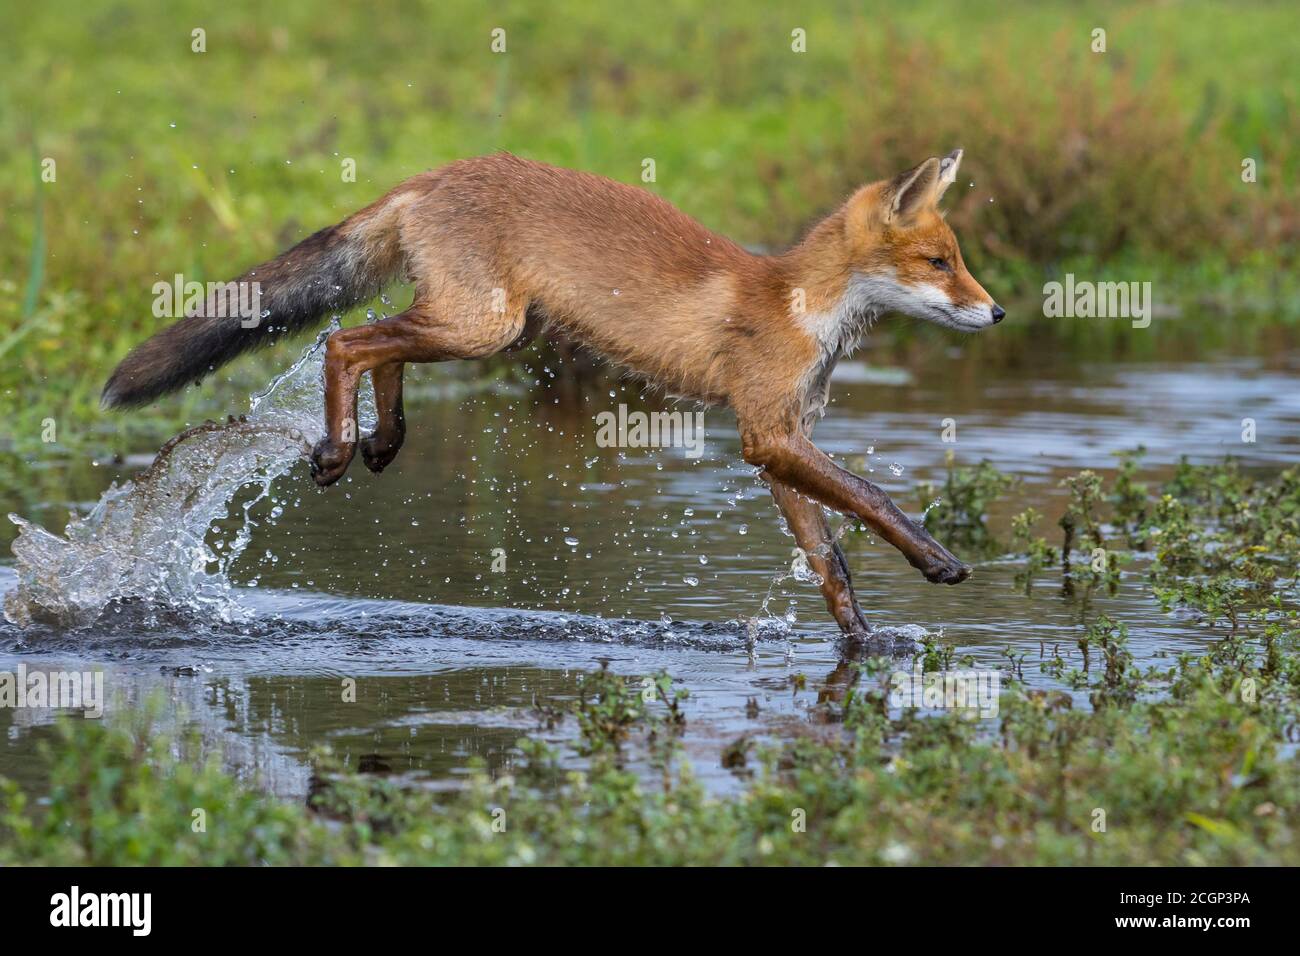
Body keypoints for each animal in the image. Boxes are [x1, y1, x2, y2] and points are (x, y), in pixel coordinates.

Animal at [102, 150, 1004, 639]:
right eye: (939, 263)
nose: (996, 312)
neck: (794, 303)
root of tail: (434, 174)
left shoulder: (776, 443)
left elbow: (832, 566)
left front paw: (866, 645)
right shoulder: (768, 435)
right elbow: (873, 497)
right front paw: (938, 561)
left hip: (490, 327)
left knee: (379, 344)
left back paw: (383, 437)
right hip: (485, 328)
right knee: (343, 341)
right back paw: (338, 446)